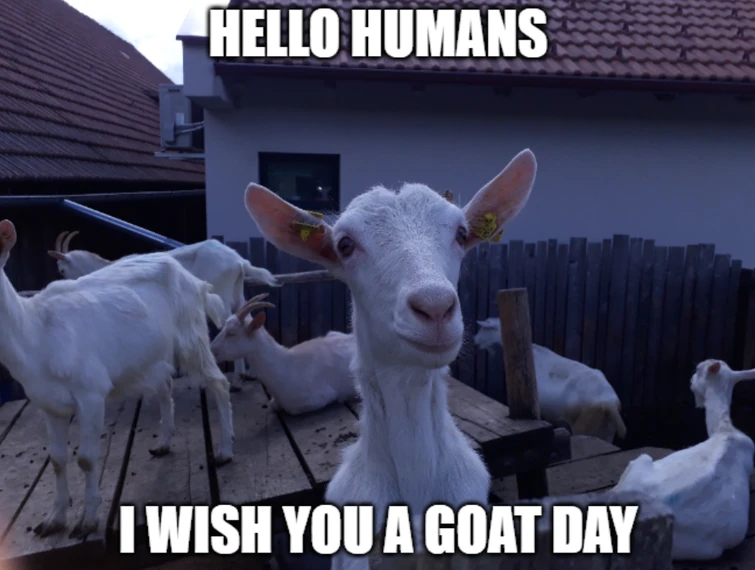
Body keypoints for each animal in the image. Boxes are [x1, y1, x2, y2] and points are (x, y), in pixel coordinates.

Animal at [0, 220, 234, 539]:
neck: (35, 333)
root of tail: (194, 282)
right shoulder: (48, 404)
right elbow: (58, 460)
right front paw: (53, 520)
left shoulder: (91, 392)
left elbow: (85, 458)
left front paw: (87, 521)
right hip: (154, 352)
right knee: (165, 384)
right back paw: (164, 443)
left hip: (191, 334)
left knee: (218, 382)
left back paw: (224, 451)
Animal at [48, 231, 279, 388]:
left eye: (62, 269)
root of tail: (240, 262)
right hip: (237, 294)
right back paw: (248, 374)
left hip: (221, 296)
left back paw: (238, 380)